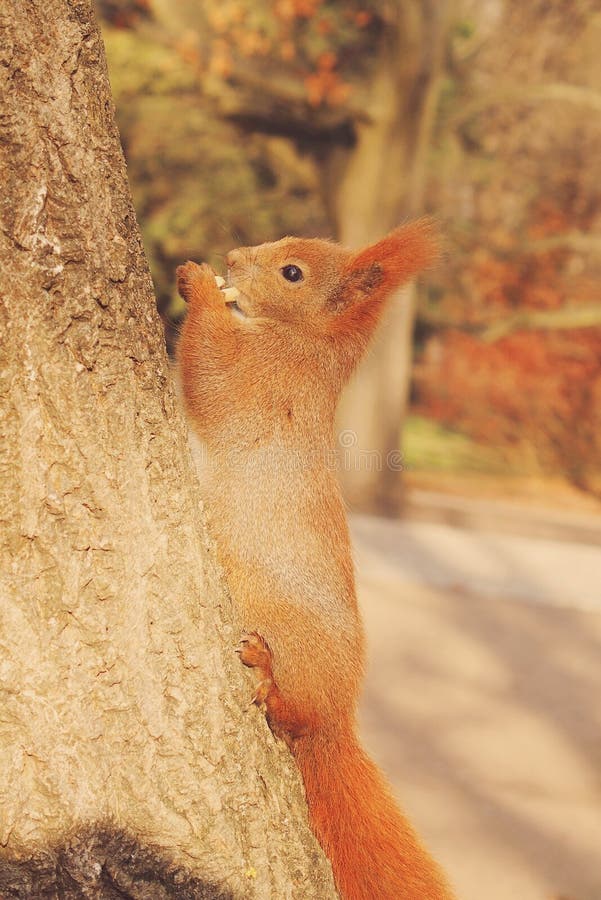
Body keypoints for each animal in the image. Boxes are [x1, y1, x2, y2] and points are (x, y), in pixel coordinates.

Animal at [176, 220, 454, 900]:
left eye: (292, 273)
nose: (232, 257)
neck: (303, 344)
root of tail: (337, 720)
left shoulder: (259, 381)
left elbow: (210, 370)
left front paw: (200, 287)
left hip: (296, 662)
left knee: (292, 717)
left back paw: (266, 674)